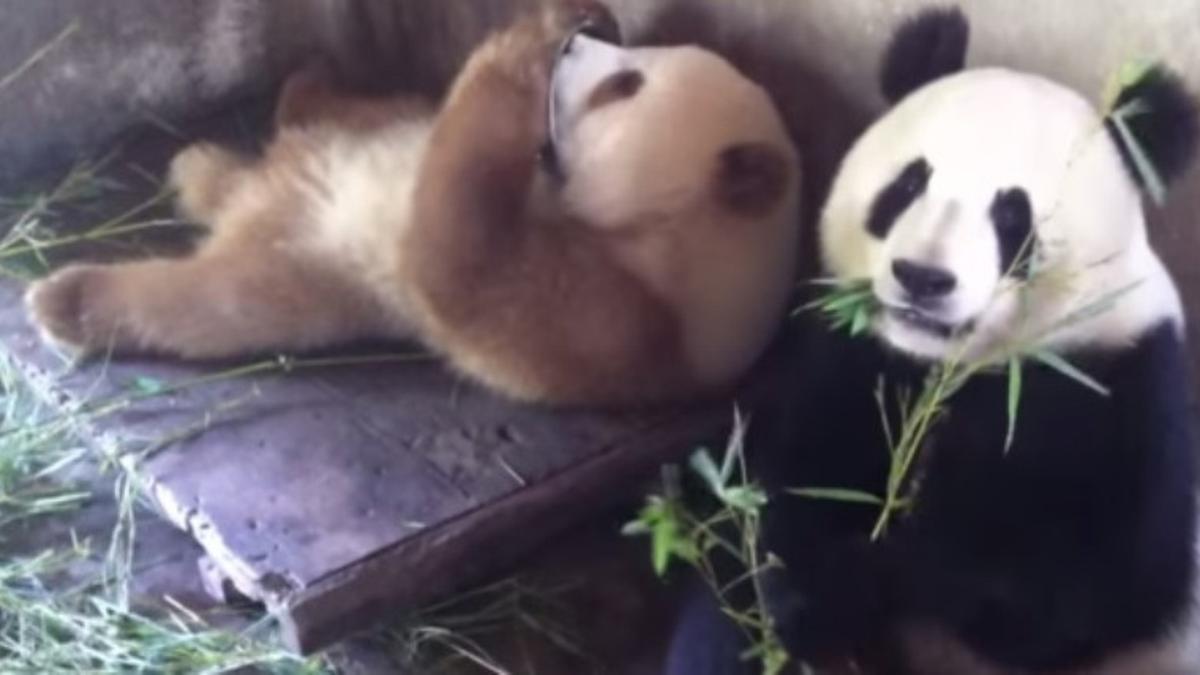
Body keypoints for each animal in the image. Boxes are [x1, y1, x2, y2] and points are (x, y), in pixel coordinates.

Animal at [665, 7, 1200, 675]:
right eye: (907, 186)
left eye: (1012, 216)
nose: (922, 278)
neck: (952, 371)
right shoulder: (855, 361)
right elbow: (787, 504)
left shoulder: (1119, 392)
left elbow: (1072, 592)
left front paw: (875, 572)